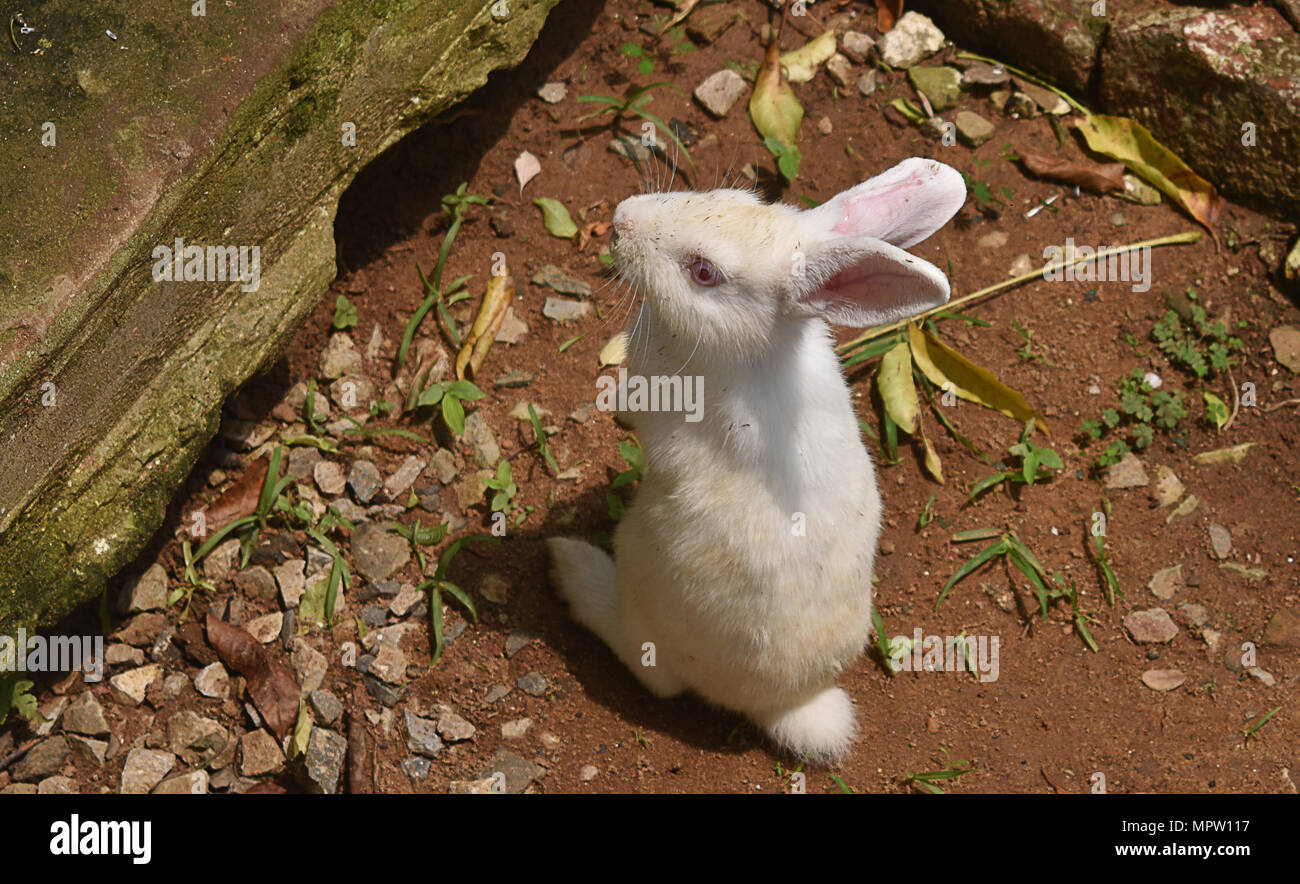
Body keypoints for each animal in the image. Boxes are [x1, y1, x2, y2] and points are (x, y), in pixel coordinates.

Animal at [547, 157, 966, 763]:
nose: (622, 220)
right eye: (736, 195)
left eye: (704, 273)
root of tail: (787, 705)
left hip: (639, 576)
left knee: (651, 669)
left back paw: (572, 568)